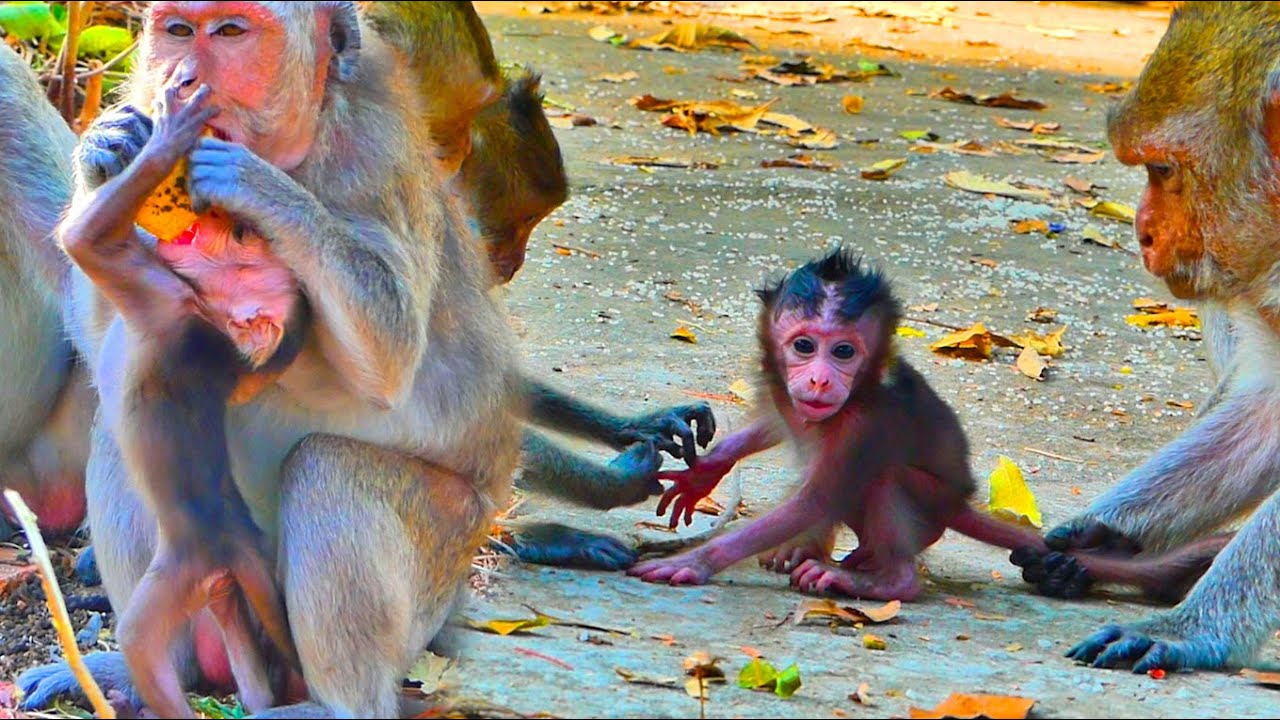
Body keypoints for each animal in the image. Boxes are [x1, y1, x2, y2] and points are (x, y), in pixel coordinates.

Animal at [19, 2, 524, 717]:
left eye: (232, 32)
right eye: (178, 31)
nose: (184, 77)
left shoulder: (378, 153)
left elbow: (390, 361)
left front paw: (257, 185)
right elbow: (103, 337)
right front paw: (106, 149)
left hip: (443, 555)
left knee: (329, 471)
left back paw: (329, 705)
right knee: (118, 430)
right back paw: (140, 676)